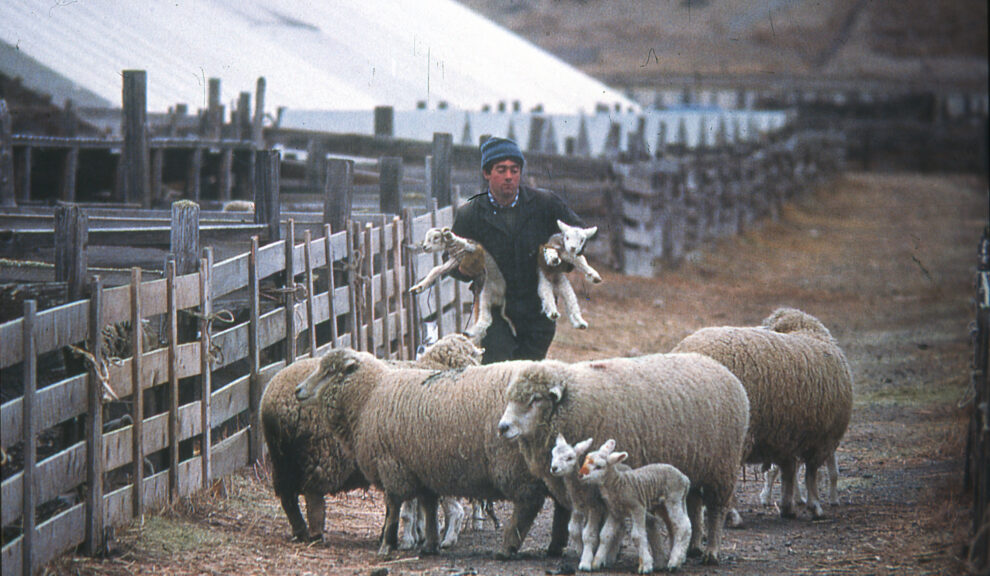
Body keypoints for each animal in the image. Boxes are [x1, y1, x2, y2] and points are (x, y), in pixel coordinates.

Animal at [260, 334, 482, 543]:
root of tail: (272, 400)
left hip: (283, 461)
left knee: (287, 498)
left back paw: (301, 531)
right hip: (321, 455)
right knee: (312, 495)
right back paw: (315, 534)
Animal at [293, 349, 566, 558]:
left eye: (329, 371)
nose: (298, 390)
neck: (368, 397)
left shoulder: (391, 464)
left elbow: (393, 507)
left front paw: (387, 545)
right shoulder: (422, 467)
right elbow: (429, 507)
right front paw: (430, 545)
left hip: (514, 463)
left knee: (529, 504)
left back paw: (509, 548)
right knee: (562, 503)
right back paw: (555, 547)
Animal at [578, 439, 692, 573]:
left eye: (599, 466)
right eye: (586, 459)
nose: (580, 475)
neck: (618, 484)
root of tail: (685, 479)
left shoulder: (637, 507)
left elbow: (637, 536)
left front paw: (646, 566)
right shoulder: (615, 512)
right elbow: (605, 535)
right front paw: (596, 562)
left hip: (673, 498)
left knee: (682, 526)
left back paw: (674, 562)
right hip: (672, 502)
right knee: (682, 526)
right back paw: (679, 558)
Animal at [671, 307, 853, 520]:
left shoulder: (787, 436)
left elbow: (789, 473)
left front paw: (788, 507)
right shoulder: (822, 439)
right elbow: (810, 474)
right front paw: (814, 505)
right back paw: (732, 515)